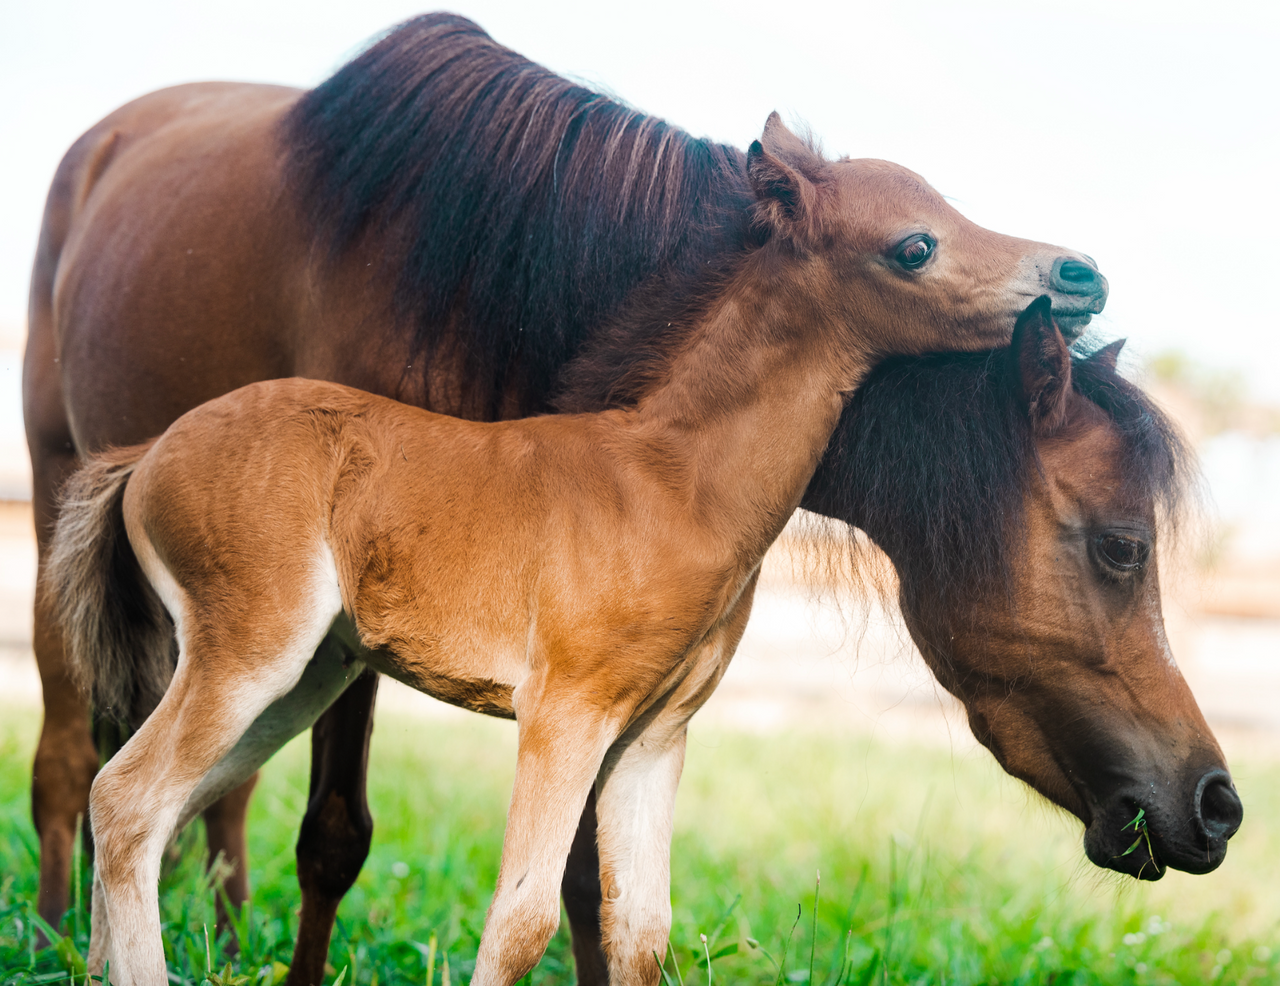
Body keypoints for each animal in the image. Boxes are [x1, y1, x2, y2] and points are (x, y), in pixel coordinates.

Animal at [24, 12, 1113, 981]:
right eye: (913, 247)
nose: (1080, 274)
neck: (670, 478)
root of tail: (146, 455)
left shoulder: (653, 735)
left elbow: (638, 931)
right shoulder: (564, 713)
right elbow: (520, 922)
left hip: (305, 674)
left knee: (156, 805)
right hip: (246, 649)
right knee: (125, 796)